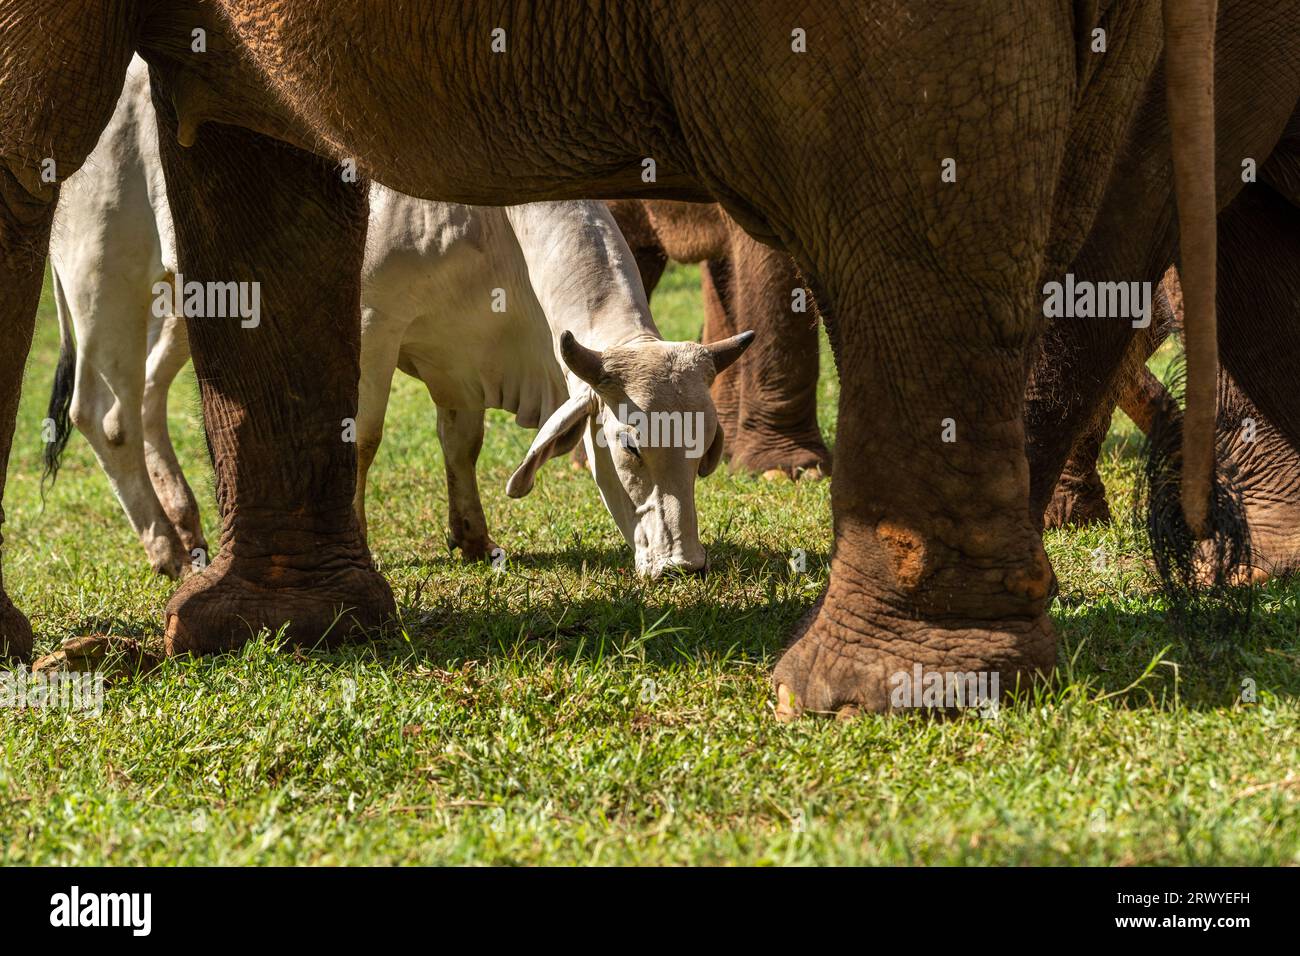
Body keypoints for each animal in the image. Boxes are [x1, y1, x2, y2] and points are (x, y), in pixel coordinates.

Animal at [0, 1, 1221, 719]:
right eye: (626, 450)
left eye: (706, 450)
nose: (681, 566)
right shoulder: (376, 322)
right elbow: (367, 432)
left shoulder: (466, 356)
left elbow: (460, 441)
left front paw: (472, 532)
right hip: (107, 267)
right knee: (110, 407)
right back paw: (165, 537)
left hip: (169, 302)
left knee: (151, 397)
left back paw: (181, 518)